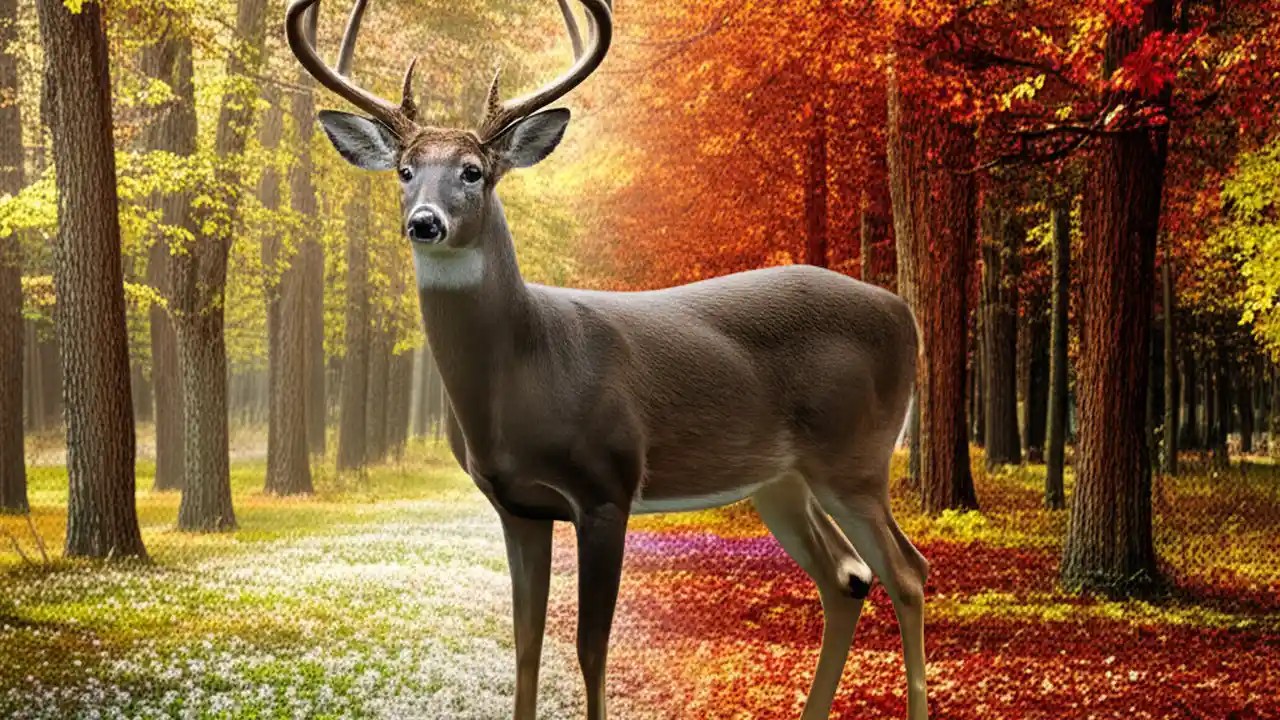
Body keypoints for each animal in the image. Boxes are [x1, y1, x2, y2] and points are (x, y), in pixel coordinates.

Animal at [285, 0, 930, 718]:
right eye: (403, 170)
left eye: (473, 171)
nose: (424, 222)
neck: (523, 374)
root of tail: (903, 311)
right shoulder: (517, 506)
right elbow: (526, 646)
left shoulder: (607, 485)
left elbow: (591, 649)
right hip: (782, 480)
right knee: (847, 577)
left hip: (855, 457)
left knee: (907, 572)